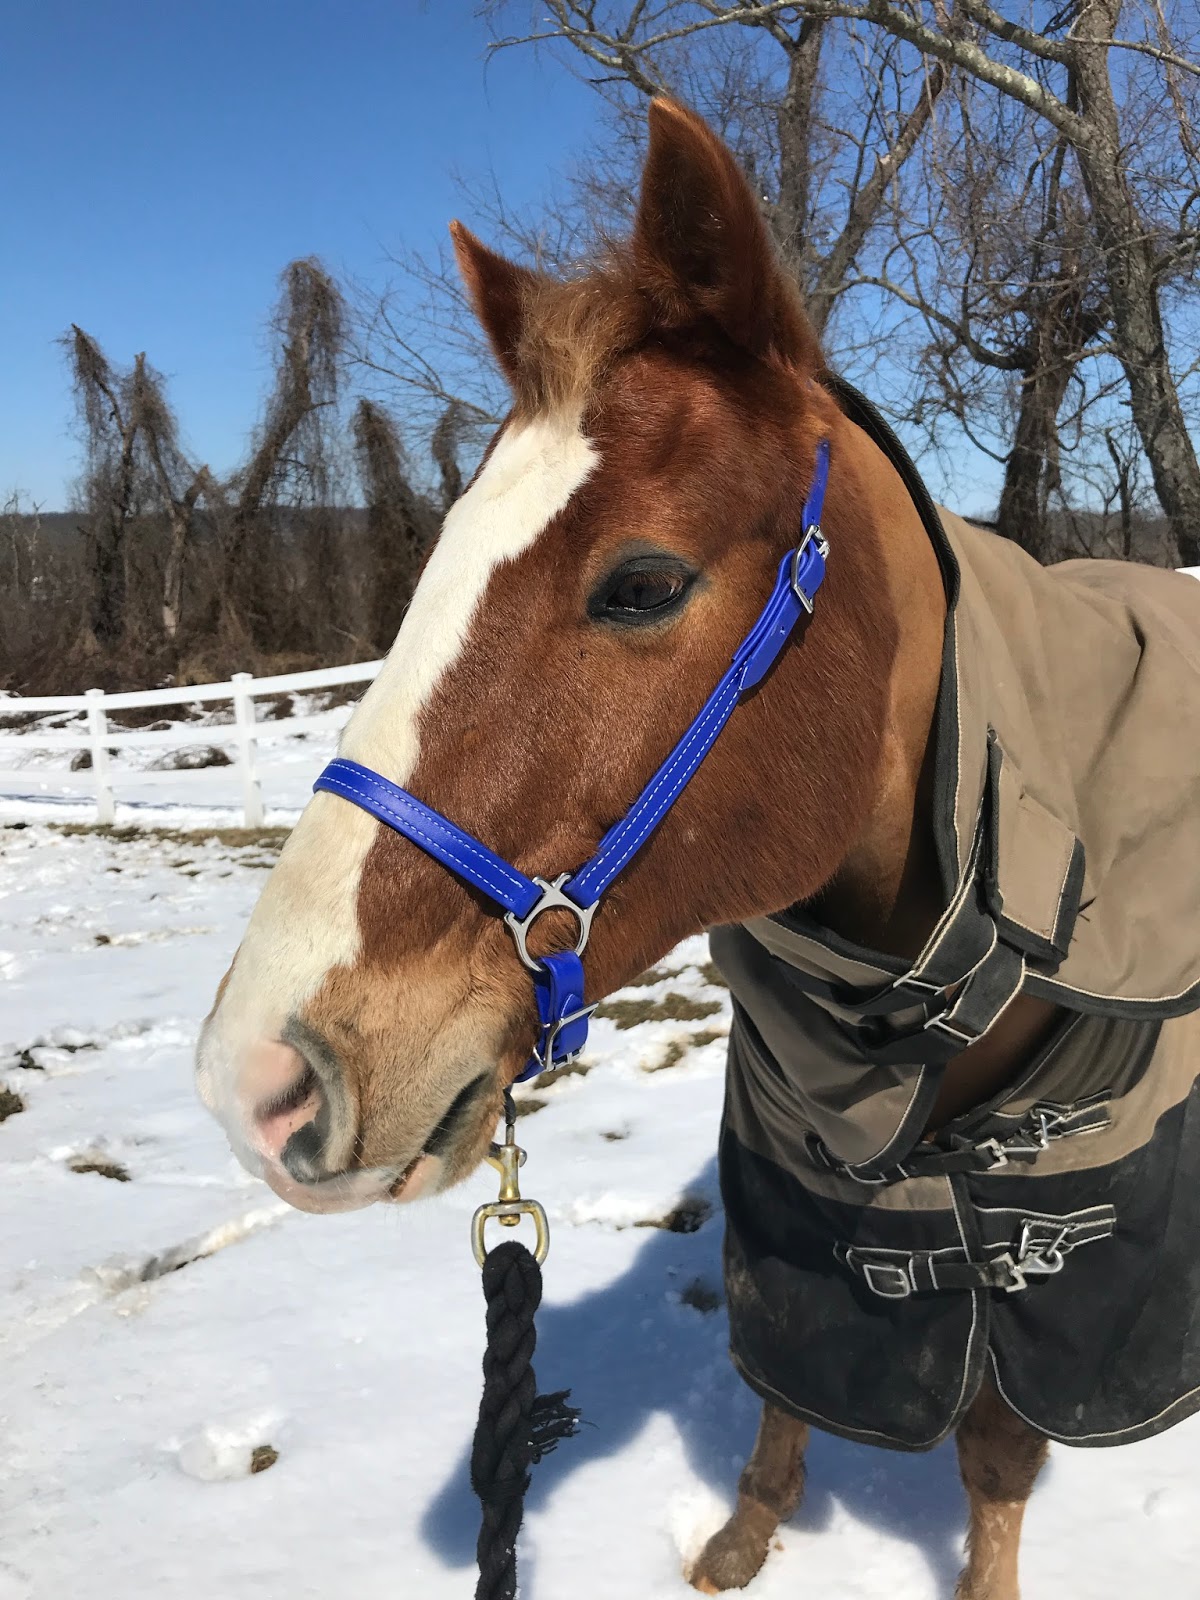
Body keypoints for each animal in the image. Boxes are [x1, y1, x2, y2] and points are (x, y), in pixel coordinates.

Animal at [196, 98, 1200, 1599]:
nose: (256, 1077)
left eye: (643, 583)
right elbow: (785, 1384)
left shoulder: (1074, 1252)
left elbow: (996, 1451)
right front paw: (737, 1541)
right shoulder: (803, 1195)